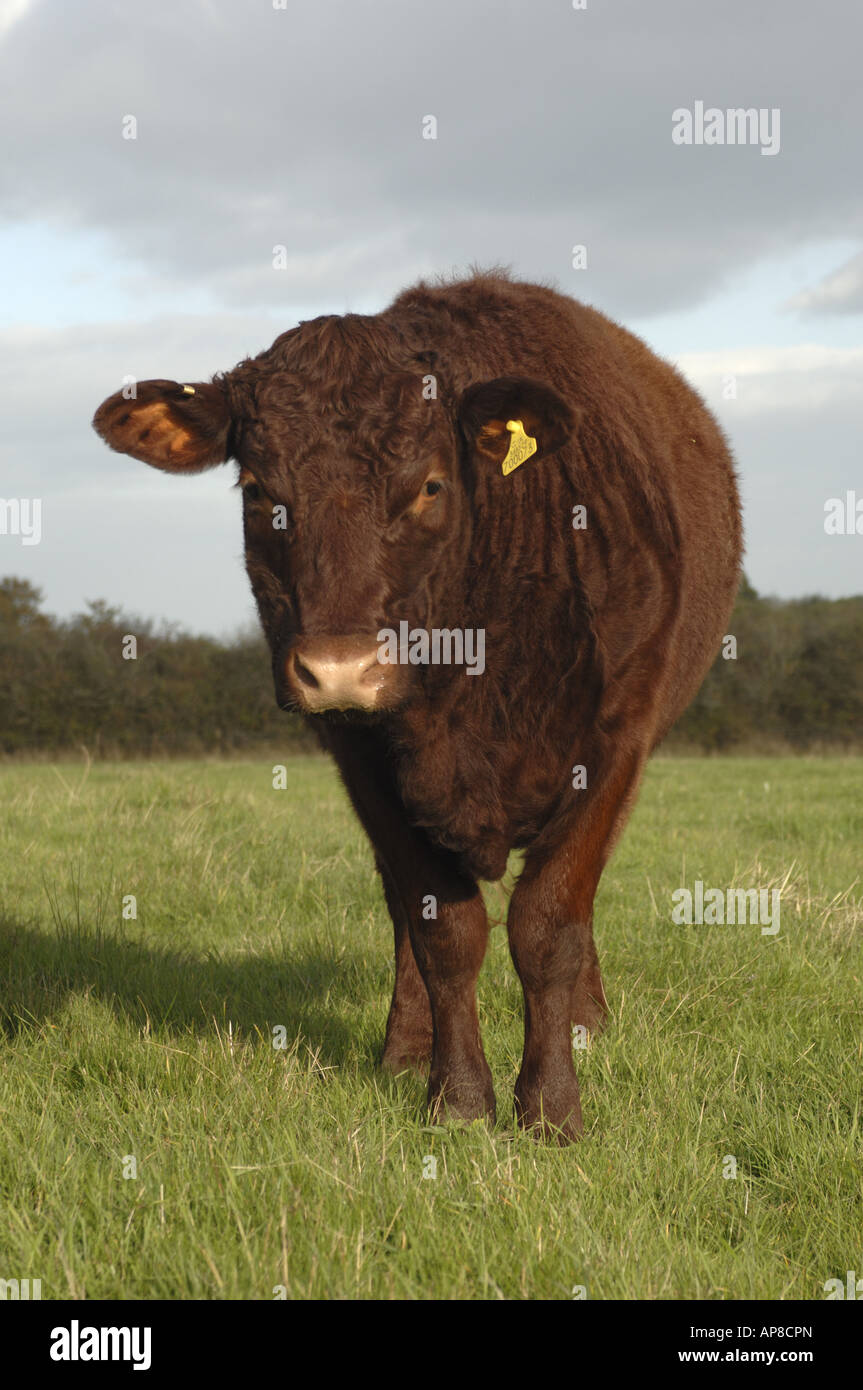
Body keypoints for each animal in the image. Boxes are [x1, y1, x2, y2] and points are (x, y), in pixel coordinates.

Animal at [93, 271, 742, 1141]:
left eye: (430, 485)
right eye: (259, 491)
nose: (339, 670)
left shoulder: (614, 745)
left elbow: (550, 923)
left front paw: (551, 1107)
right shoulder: (365, 761)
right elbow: (442, 929)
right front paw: (457, 1097)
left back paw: (584, 1021)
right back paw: (404, 1048)